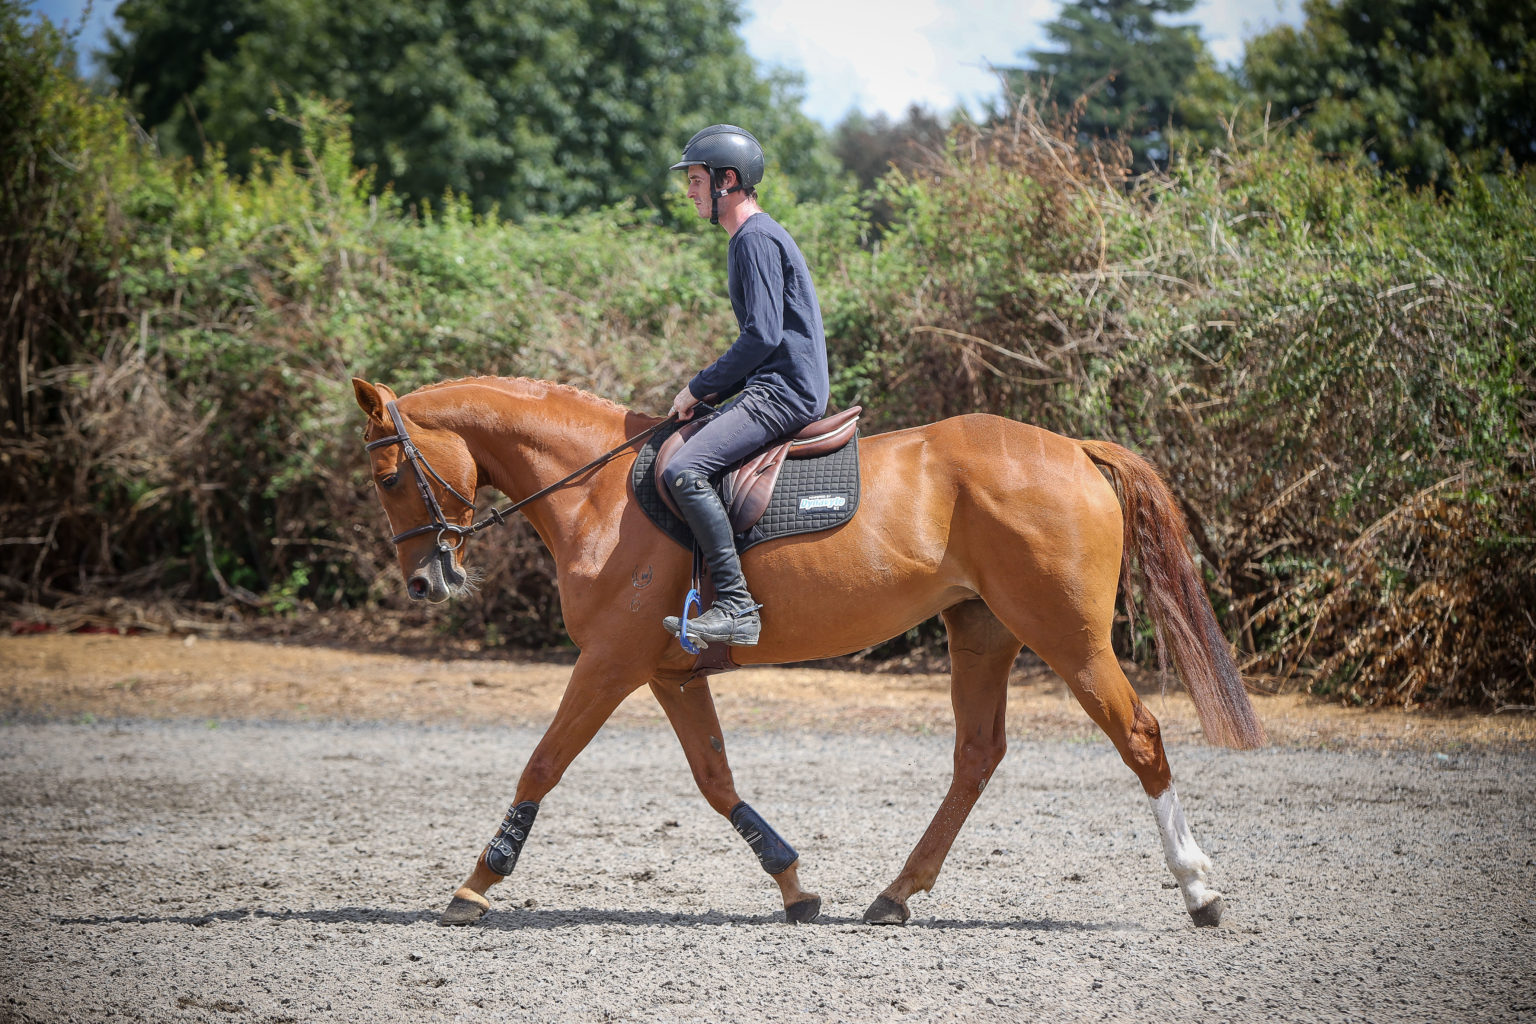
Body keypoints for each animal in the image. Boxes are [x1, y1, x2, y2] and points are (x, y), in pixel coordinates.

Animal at [352, 374, 1264, 929]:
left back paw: (1199, 889)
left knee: (1138, 737)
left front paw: (477, 882)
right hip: (982, 632)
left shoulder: (609, 664)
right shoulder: (667, 673)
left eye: (390, 477)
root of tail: (1075, 447)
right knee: (977, 755)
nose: (425, 583)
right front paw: (793, 884)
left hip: (1065, 638)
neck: (598, 493)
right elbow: (716, 780)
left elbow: (542, 762)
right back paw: (895, 894)